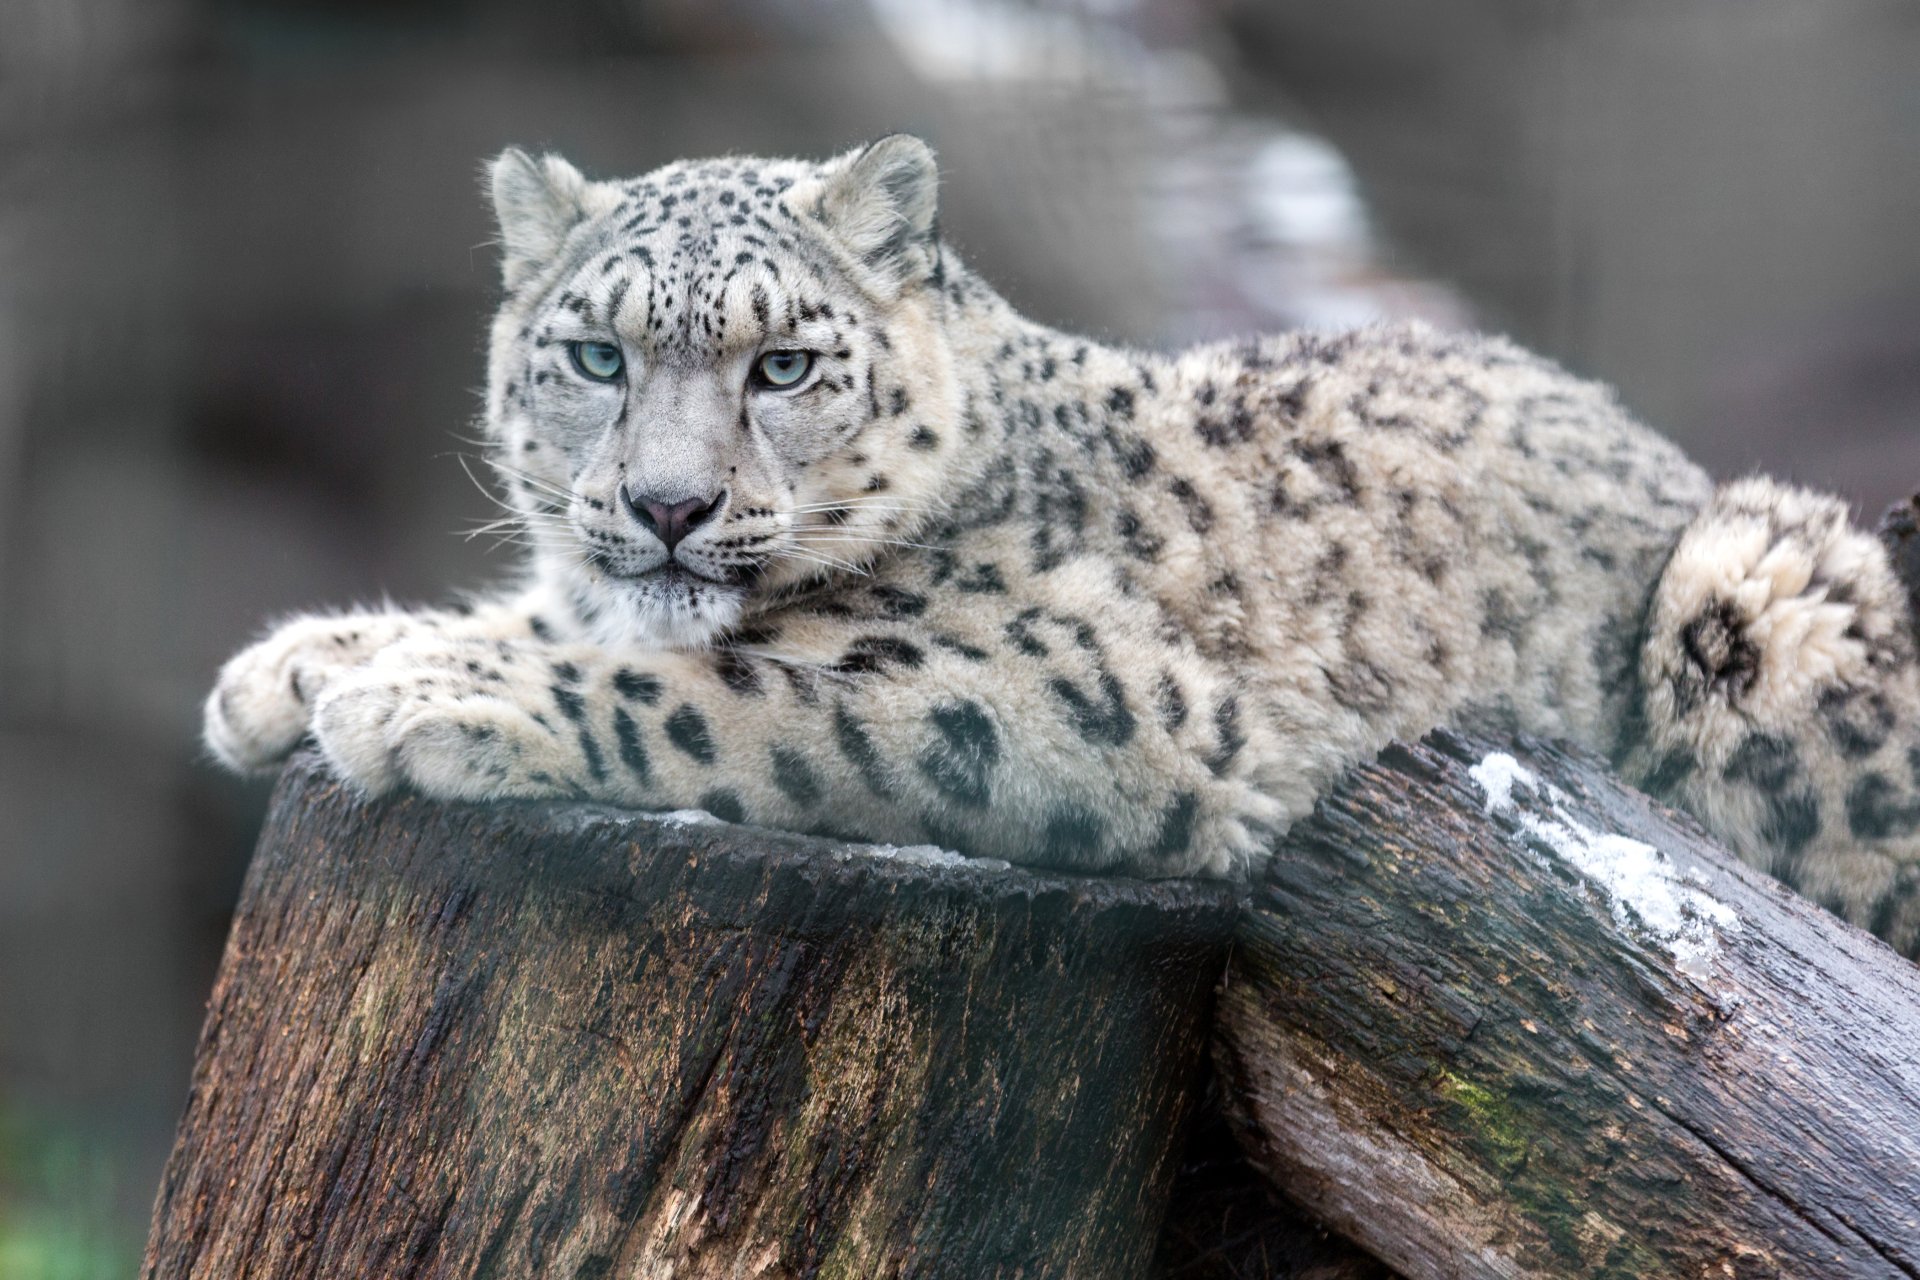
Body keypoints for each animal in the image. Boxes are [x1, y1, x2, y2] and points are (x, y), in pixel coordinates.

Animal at [204, 135, 1920, 956]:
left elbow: (717, 693)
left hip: (1766, 584)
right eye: (596, 355)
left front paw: (423, 703)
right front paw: (302, 665)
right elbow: (570, 623)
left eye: (784, 365)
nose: (670, 508)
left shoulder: (1086, 694)